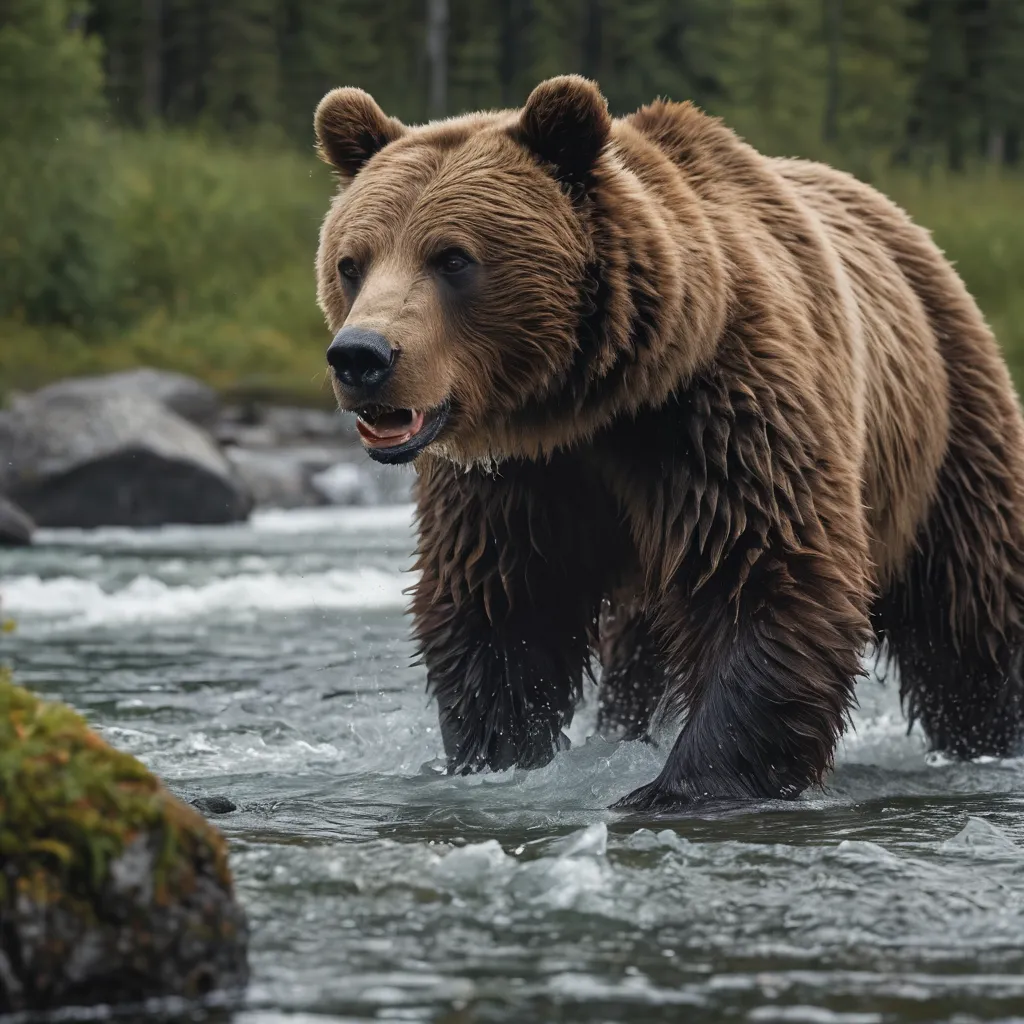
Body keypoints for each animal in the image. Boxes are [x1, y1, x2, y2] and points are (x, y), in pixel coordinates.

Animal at [313, 75, 1024, 809]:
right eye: (351, 262)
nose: (361, 356)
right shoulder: (510, 479)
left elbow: (764, 575)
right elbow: (501, 610)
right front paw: (498, 758)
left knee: (967, 619)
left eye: (453, 257)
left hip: (946, 423)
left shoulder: (719, 415)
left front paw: (678, 786)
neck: (587, 403)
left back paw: (984, 736)